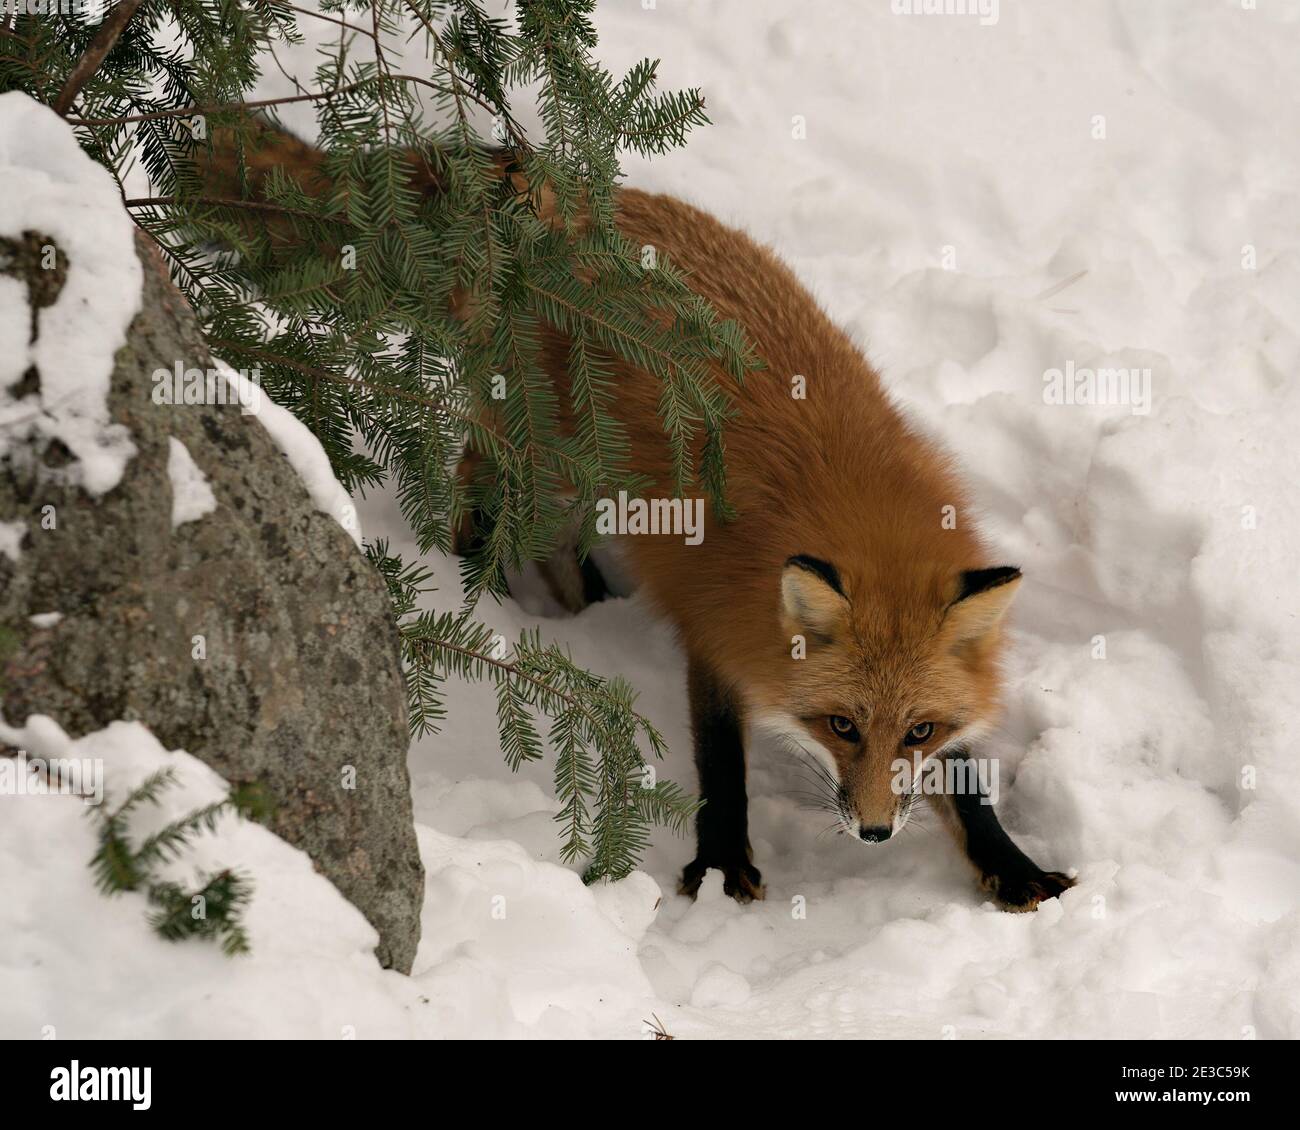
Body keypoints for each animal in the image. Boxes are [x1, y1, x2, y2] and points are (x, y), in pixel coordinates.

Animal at [204, 124, 1075, 912]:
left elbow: (966, 785)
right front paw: (722, 865)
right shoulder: (715, 622)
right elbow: (720, 762)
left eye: (917, 733)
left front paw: (1012, 867)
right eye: (841, 726)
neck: (855, 505)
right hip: (535, 457)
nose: (874, 832)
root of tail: (561, 200)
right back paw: (486, 604)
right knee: (475, 513)